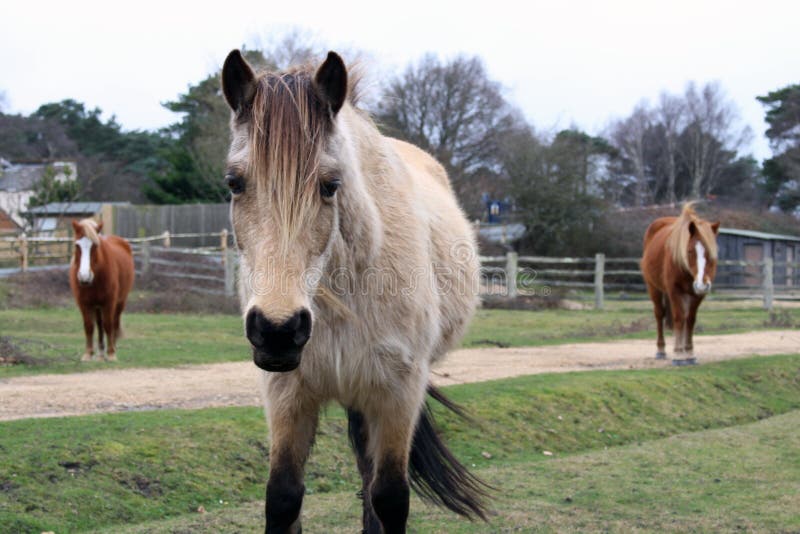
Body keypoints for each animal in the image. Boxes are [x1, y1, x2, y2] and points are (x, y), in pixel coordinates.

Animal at [69, 219, 134, 362]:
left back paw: (112, 348)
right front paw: (88, 354)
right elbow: (89, 326)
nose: (84, 277)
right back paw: (100, 354)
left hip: (119, 302)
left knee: (114, 323)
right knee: (99, 324)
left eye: (94, 246)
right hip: (97, 306)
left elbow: (108, 325)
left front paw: (111, 353)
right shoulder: (84, 304)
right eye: (77, 245)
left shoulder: (109, 302)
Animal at [220, 50, 489, 533]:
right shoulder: (287, 396)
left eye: (331, 184)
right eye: (234, 183)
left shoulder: (398, 395)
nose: (277, 331)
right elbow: (283, 497)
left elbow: (390, 497)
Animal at [640, 204, 720, 365]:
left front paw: (689, 353)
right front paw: (678, 354)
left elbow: (689, 320)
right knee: (660, 314)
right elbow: (679, 318)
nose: (702, 284)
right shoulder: (675, 291)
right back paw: (661, 350)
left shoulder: (696, 295)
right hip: (654, 288)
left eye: (711, 252)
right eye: (689, 251)